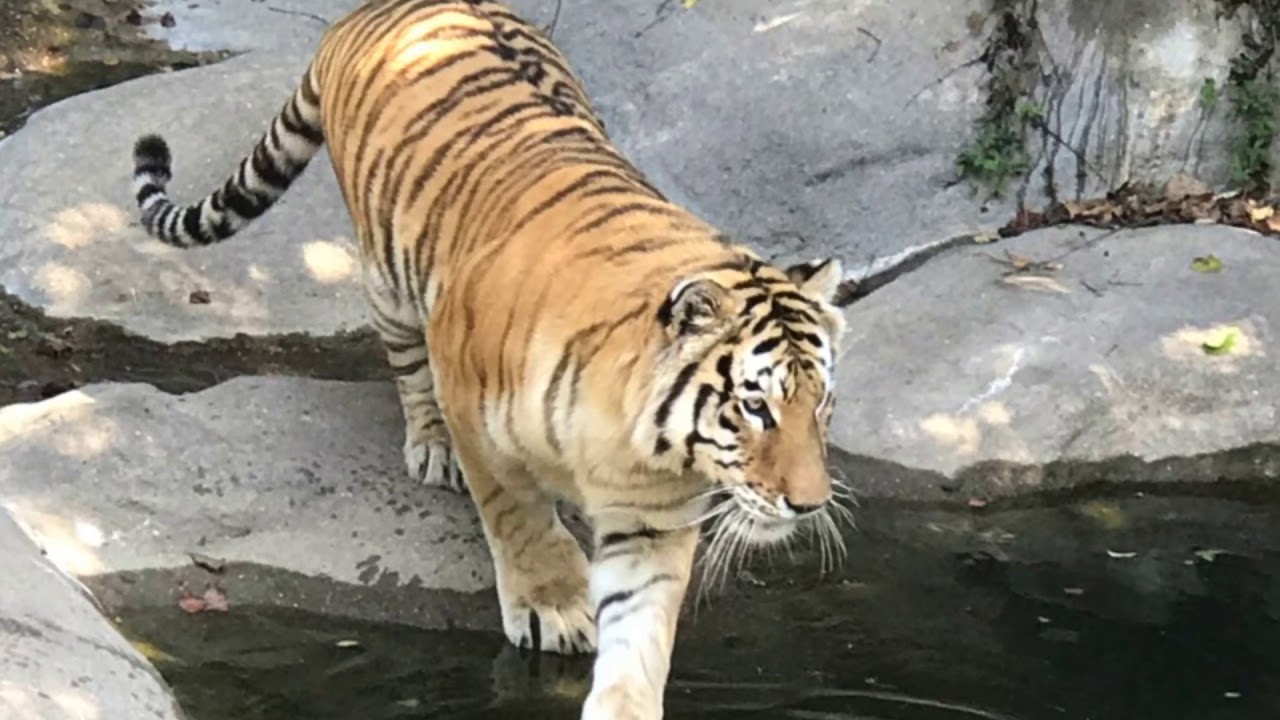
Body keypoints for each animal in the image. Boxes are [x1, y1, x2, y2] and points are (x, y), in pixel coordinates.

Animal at [126, 1, 851, 717]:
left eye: (822, 405)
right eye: (755, 406)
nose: (809, 505)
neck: (636, 442)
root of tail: (369, 12)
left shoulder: (654, 513)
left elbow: (638, 635)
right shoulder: (477, 414)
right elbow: (517, 516)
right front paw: (552, 606)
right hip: (388, 279)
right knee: (408, 367)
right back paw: (430, 448)